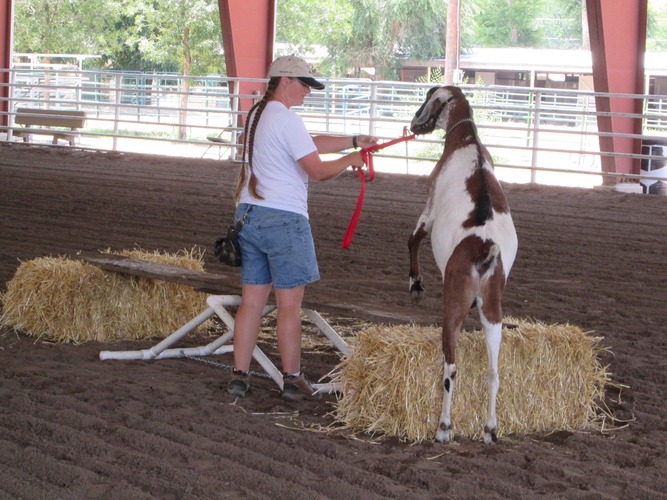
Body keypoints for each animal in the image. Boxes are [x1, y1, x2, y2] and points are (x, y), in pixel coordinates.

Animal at [408, 86, 518, 444]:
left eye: (428, 99)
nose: (414, 123)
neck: (468, 142)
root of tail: (485, 250)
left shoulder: (428, 207)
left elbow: (413, 238)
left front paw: (415, 284)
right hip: (493, 312)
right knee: (494, 371)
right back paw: (490, 429)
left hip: (453, 307)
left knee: (451, 368)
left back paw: (444, 427)